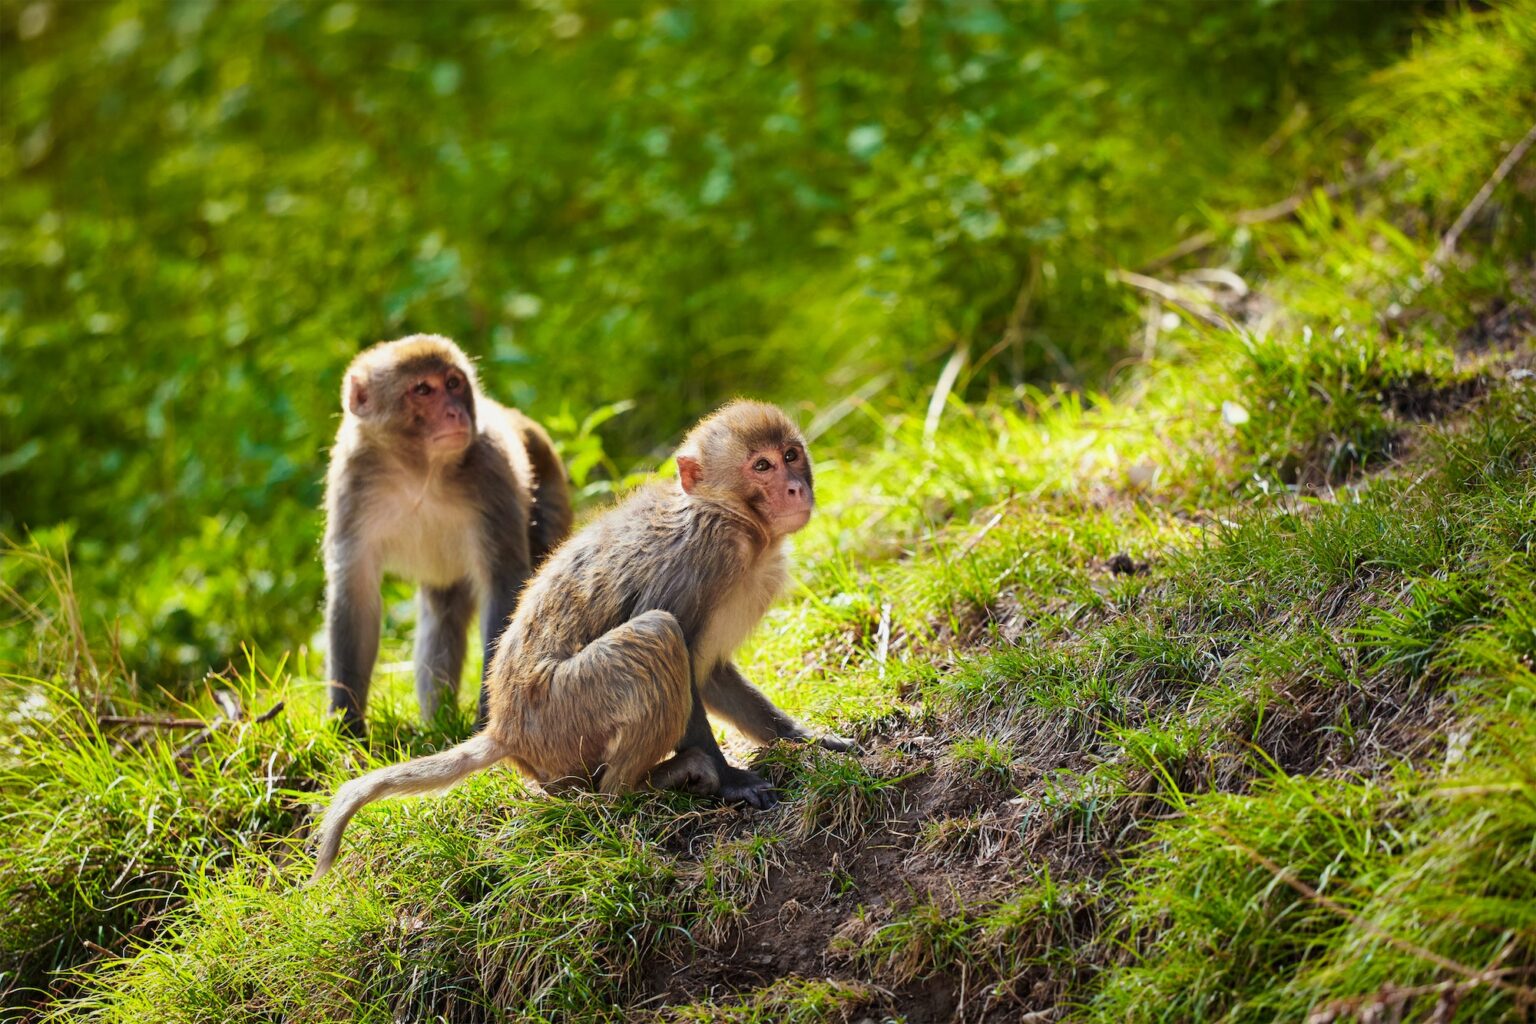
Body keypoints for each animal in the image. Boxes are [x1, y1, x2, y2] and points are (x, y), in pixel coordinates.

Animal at [311, 400, 853, 880]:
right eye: (761, 465)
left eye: (790, 454)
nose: (794, 487)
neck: (737, 520)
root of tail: (504, 729)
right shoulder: (705, 556)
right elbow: (679, 646)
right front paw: (730, 782)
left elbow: (709, 674)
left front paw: (801, 738)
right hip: (561, 712)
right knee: (657, 637)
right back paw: (644, 787)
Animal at [322, 334, 572, 736]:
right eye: (423, 389)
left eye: (454, 384)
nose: (456, 413)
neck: (420, 469)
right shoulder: (353, 480)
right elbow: (355, 594)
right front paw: (347, 724)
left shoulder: (492, 470)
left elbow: (504, 584)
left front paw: (489, 716)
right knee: (442, 616)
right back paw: (437, 720)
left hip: (550, 497)